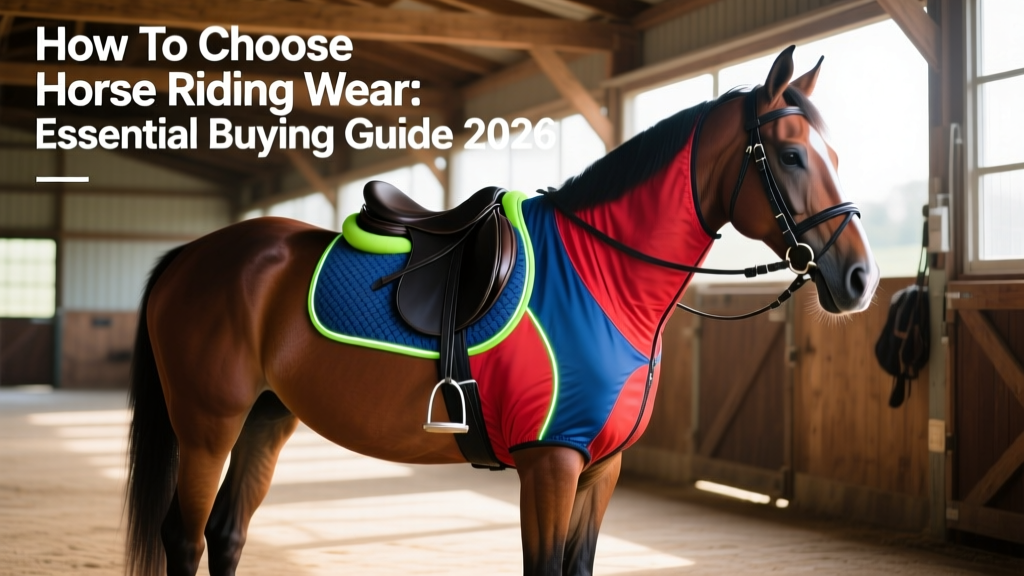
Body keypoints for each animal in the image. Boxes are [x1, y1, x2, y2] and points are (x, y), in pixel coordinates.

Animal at [125, 45, 878, 576]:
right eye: (790, 155)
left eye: (836, 153)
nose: (861, 278)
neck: (599, 278)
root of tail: (191, 255)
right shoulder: (551, 464)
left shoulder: (600, 471)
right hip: (208, 426)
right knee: (184, 540)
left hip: (264, 418)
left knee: (226, 534)